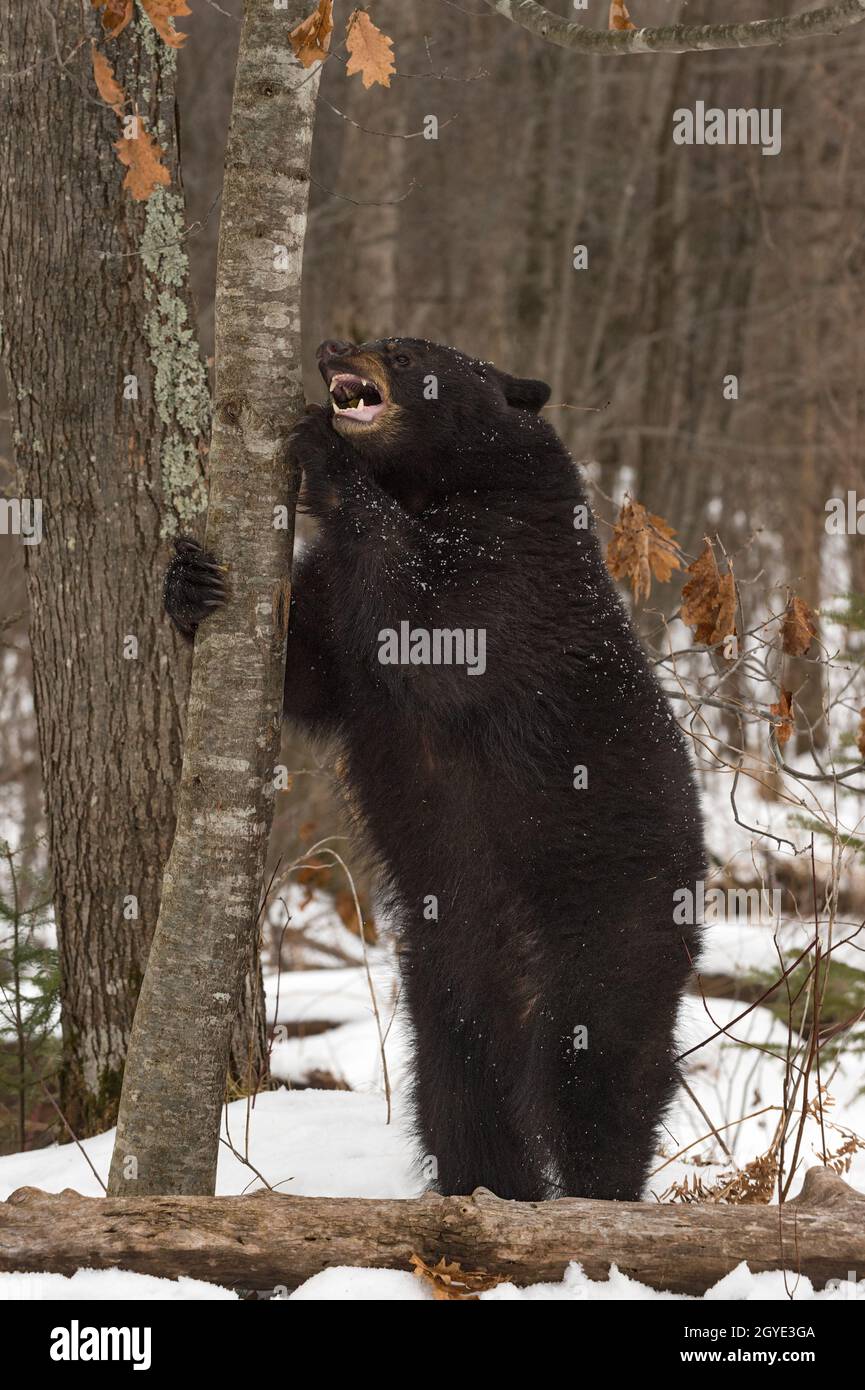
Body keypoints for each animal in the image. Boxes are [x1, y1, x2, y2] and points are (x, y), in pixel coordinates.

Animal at [164, 336, 705, 1203]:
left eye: (406, 350)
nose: (332, 349)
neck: (430, 484)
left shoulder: (512, 564)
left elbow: (429, 623)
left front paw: (322, 450)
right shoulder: (348, 622)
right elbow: (314, 663)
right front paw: (190, 581)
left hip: (611, 927)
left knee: (600, 1070)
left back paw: (596, 1193)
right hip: (447, 973)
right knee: (460, 1087)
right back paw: (487, 1187)